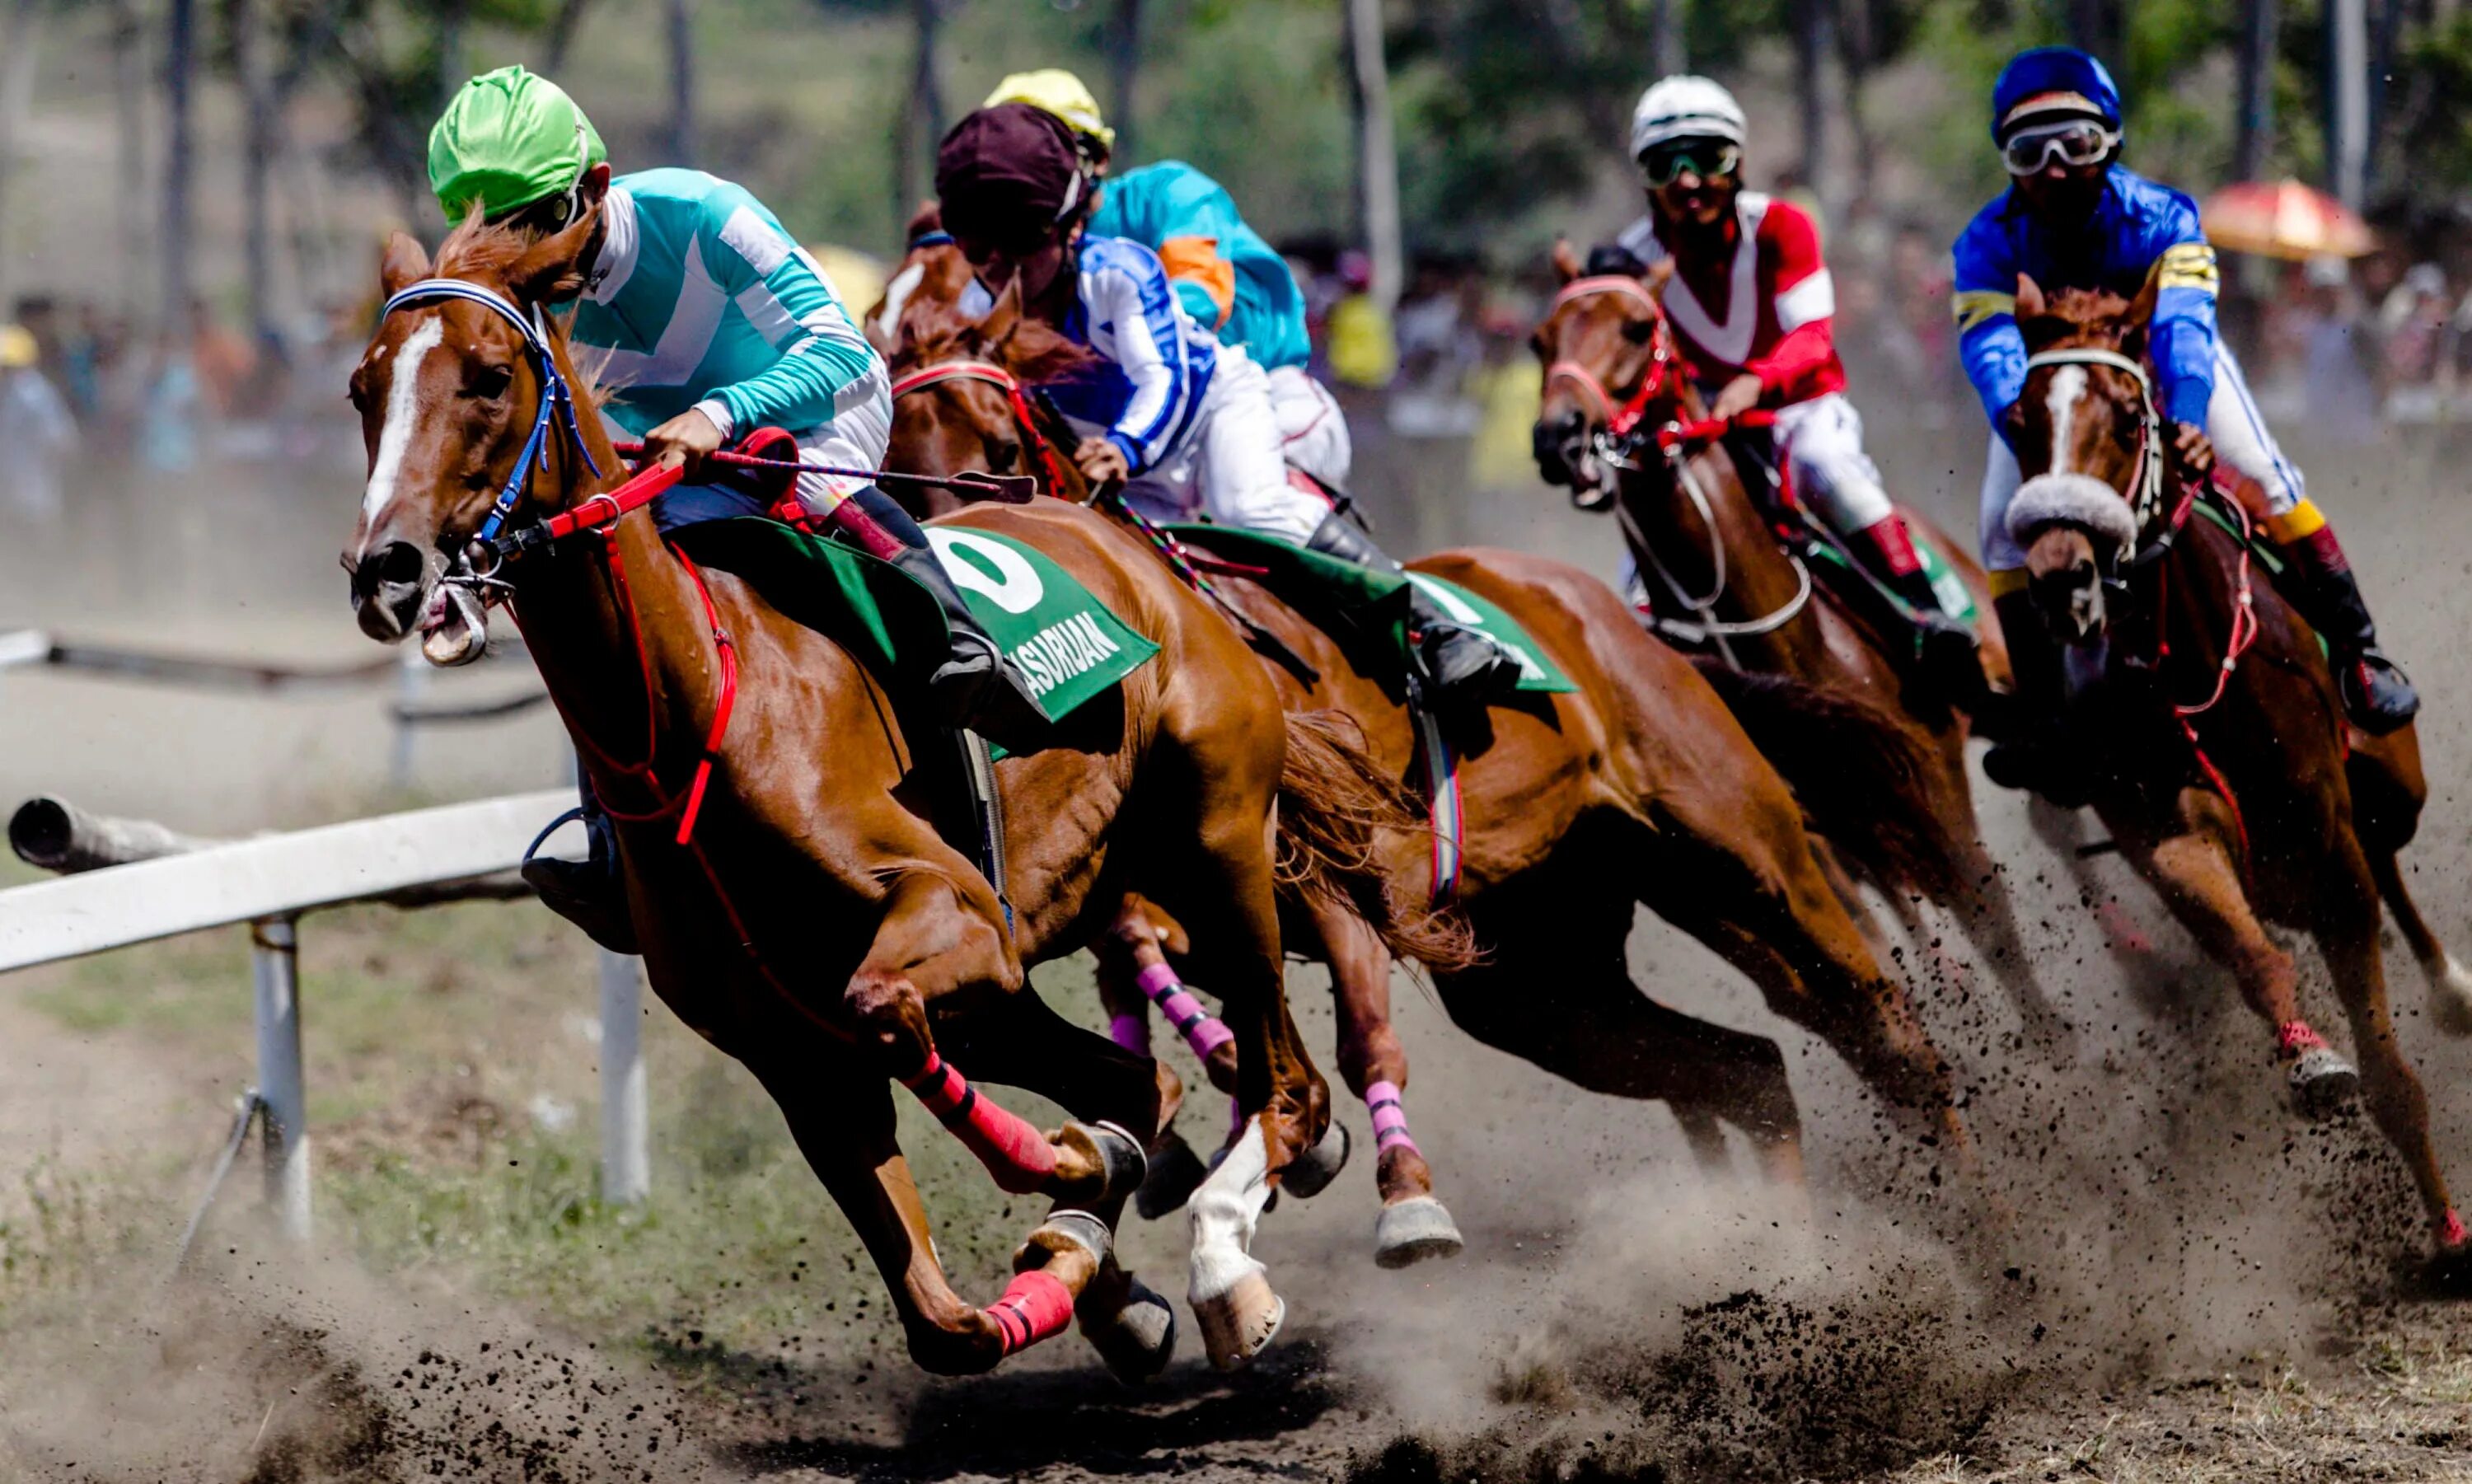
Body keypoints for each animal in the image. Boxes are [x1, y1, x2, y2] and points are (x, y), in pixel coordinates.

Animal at [339, 205, 1444, 1365]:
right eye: (365, 388)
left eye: (490, 375)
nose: (389, 572)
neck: (701, 717)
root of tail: (1139, 546)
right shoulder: (789, 1046)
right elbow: (944, 1323)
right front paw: (1086, 1257)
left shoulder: (958, 922)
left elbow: (886, 1007)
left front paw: (1076, 1171)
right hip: (1034, 975)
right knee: (1151, 1080)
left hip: (1219, 849)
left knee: (1289, 1088)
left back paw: (1230, 1257)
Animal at [1523, 243, 2067, 1043]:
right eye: (1541, 340)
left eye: (1635, 328)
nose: (1557, 438)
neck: (1766, 624)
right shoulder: (1822, 824)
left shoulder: (1929, 777)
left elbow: (1988, 914)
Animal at [2007, 278, 2472, 1261]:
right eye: (2022, 420)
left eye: (2127, 416)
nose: (2061, 575)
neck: (2191, 663)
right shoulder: (2170, 835)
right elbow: (2253, 957)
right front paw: (2312, 1055)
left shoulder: (2328, 847)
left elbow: (2390, 1071)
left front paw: (2451, 1231)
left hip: (2389, 781)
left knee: (2392, 861)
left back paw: (2453, 989)